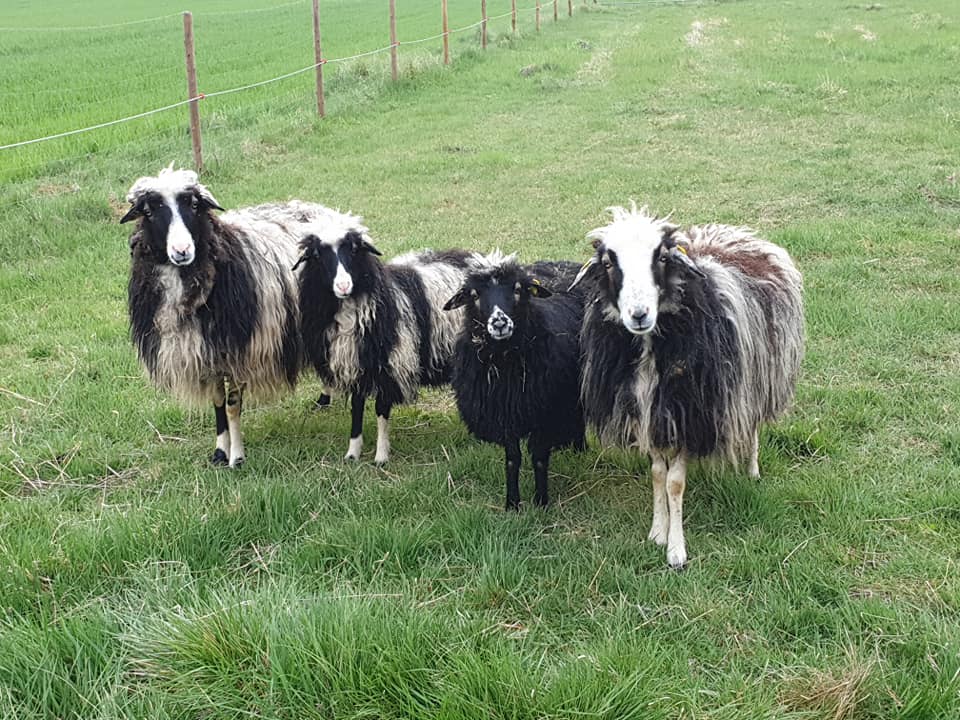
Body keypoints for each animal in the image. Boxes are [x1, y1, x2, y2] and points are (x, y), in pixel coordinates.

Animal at [121, 165, 343, 468]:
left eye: (194, 205)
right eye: (149, 211)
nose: (182, 251)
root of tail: (323, 209)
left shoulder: (240, 352)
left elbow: (232, 406)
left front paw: (236, 456)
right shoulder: (208, 355)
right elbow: (217, 404)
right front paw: (219, 451)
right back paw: (324, 397)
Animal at [295, 229, 470, 465]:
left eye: (354, 249)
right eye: (316, 255)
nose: (343, 286)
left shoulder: (391, 367)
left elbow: (381, 411)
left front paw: (381, 456)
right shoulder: (357, 368)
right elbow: (357, 409)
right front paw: (352, 453)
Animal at [443, 251, 586, 510]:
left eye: (518, 289)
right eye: (475, 295)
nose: (500, 323)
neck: (505, 362)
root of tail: (563, 263)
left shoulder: (544, 412)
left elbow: (539, 458)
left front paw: (541, 503)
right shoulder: (505, 415)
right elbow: (512, 459)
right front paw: (512, 504)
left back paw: (580, 450)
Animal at [570, 204, 804, 568]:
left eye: (662, 258)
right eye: (608, 263)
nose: (639, 314)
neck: (650, 346)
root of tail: (731, 231)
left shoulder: (690, 413)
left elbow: (675, 484)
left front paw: (676, 549)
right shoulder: (648, 411)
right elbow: (657, 475)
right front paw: (657, 531)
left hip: (757, 377)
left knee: (751, 424)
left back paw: (752, 469)